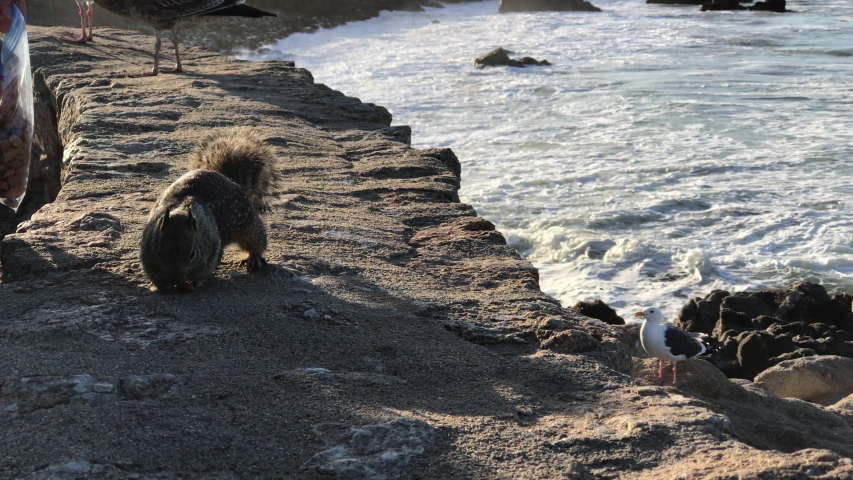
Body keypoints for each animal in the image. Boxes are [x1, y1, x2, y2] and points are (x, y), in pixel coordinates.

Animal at [139, 128, 278, 292]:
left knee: (256, 241)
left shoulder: (211, 247)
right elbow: (151, 270)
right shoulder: (147, 248)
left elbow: (204, 271)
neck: (181, 210)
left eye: (192, 254)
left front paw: (194, 283)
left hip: (249, 224)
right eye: (159, 253)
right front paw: (161, 285)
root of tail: (231, 180)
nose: (175, 280)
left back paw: (254, 258)